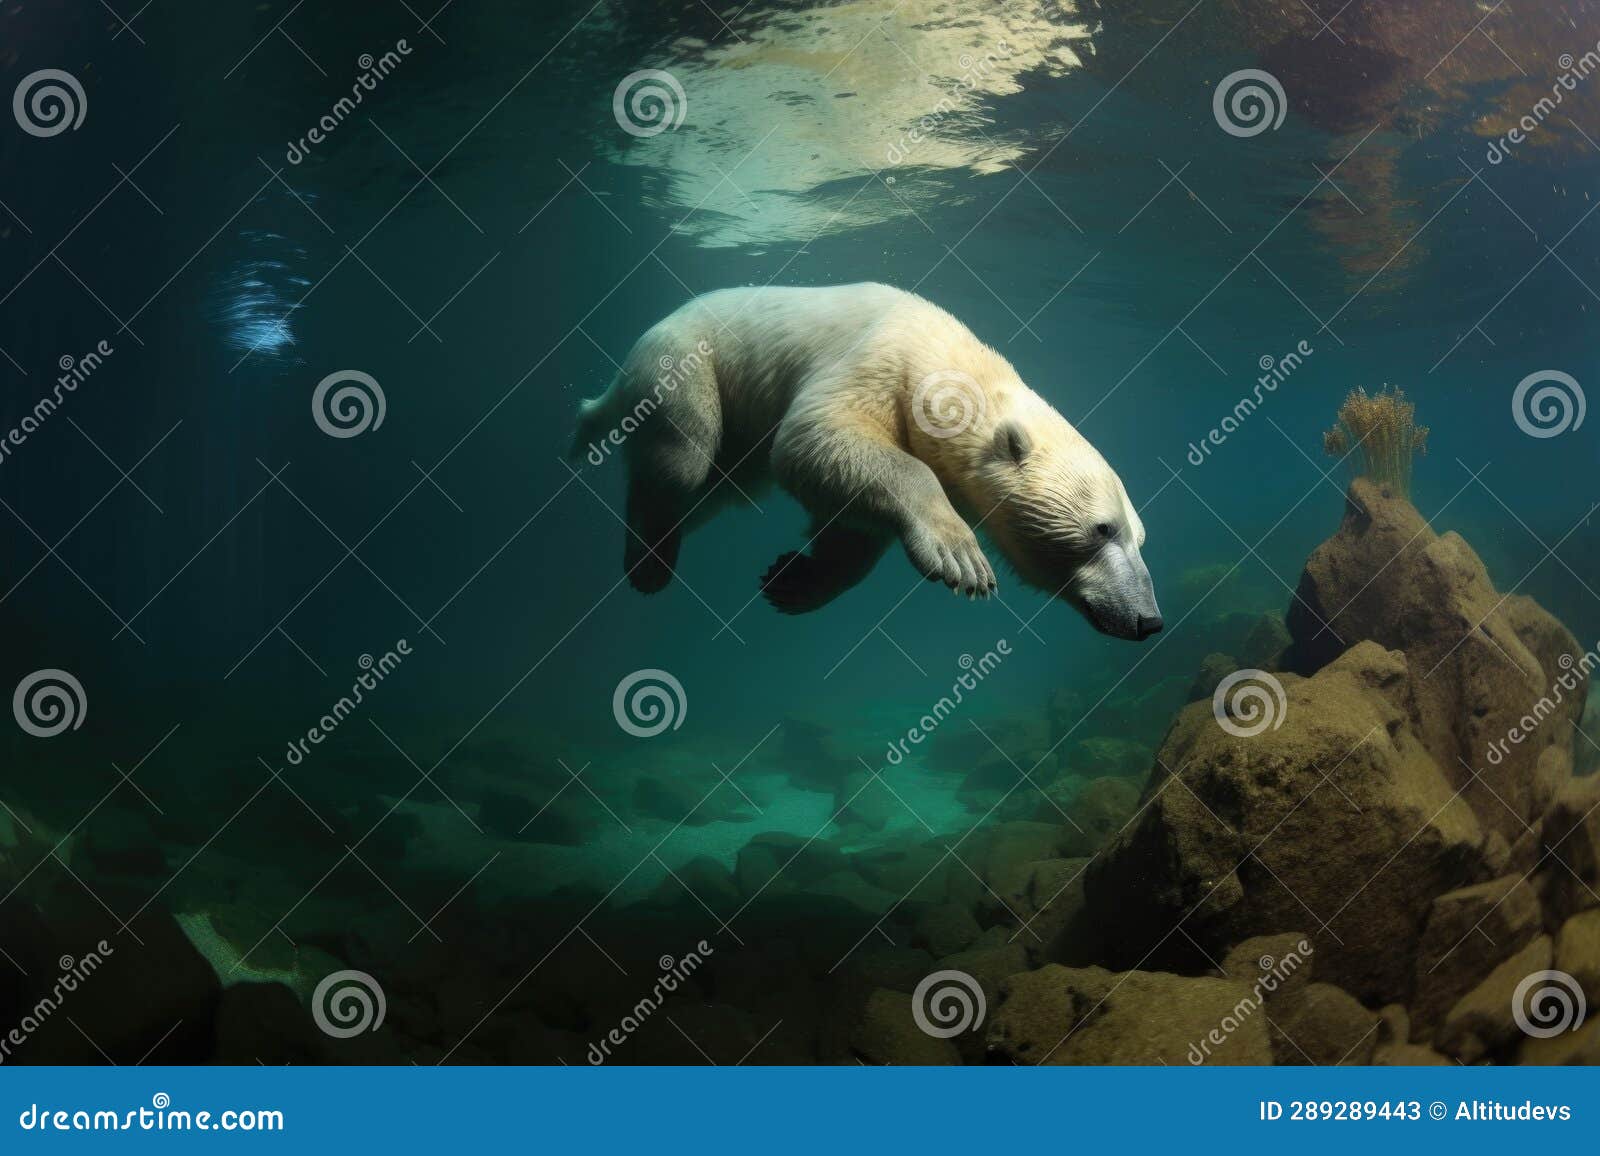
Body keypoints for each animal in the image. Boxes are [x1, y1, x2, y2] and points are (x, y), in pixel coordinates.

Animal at [572, 283, 1162, 640]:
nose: (1148, 620)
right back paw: (648, 557)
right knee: (685, 461)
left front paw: (794, 580)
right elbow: (817, 439)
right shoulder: (875, 363)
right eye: (1103, 529)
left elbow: (851, 525)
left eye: (1139, 537)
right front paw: (960, 559)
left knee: (720, 489)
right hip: (684, 363)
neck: (944, 357)